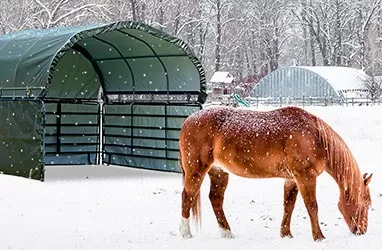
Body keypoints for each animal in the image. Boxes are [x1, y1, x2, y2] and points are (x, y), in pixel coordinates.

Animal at [179, 105, 374, 240]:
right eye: (366, 202)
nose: (362, 231)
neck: (315, 137)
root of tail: (187, 121)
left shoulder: (291, 179)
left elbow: (289, 205)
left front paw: (286, 234)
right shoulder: (305, 177)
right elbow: (312, 206)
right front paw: (319, 237)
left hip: (219, 173)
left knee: (216, 199)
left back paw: (227, 233)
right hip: (196, 171)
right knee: (187, 196)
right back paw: (186, 233)